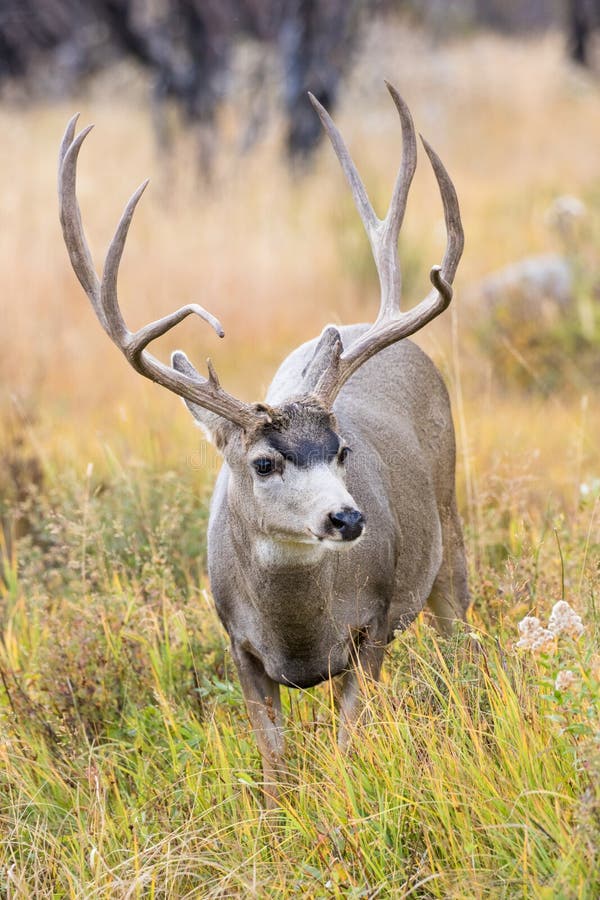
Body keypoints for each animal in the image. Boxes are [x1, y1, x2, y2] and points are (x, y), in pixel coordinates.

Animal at [58, 83, 469, 808]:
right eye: (265, 462)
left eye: (342, 450)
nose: (347, 517)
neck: (297, 630)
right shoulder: (238, 646)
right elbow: (273, 764)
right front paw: (281, 821)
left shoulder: (372, 627)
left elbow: (347, 746)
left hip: (448, 525)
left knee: (464, 637)